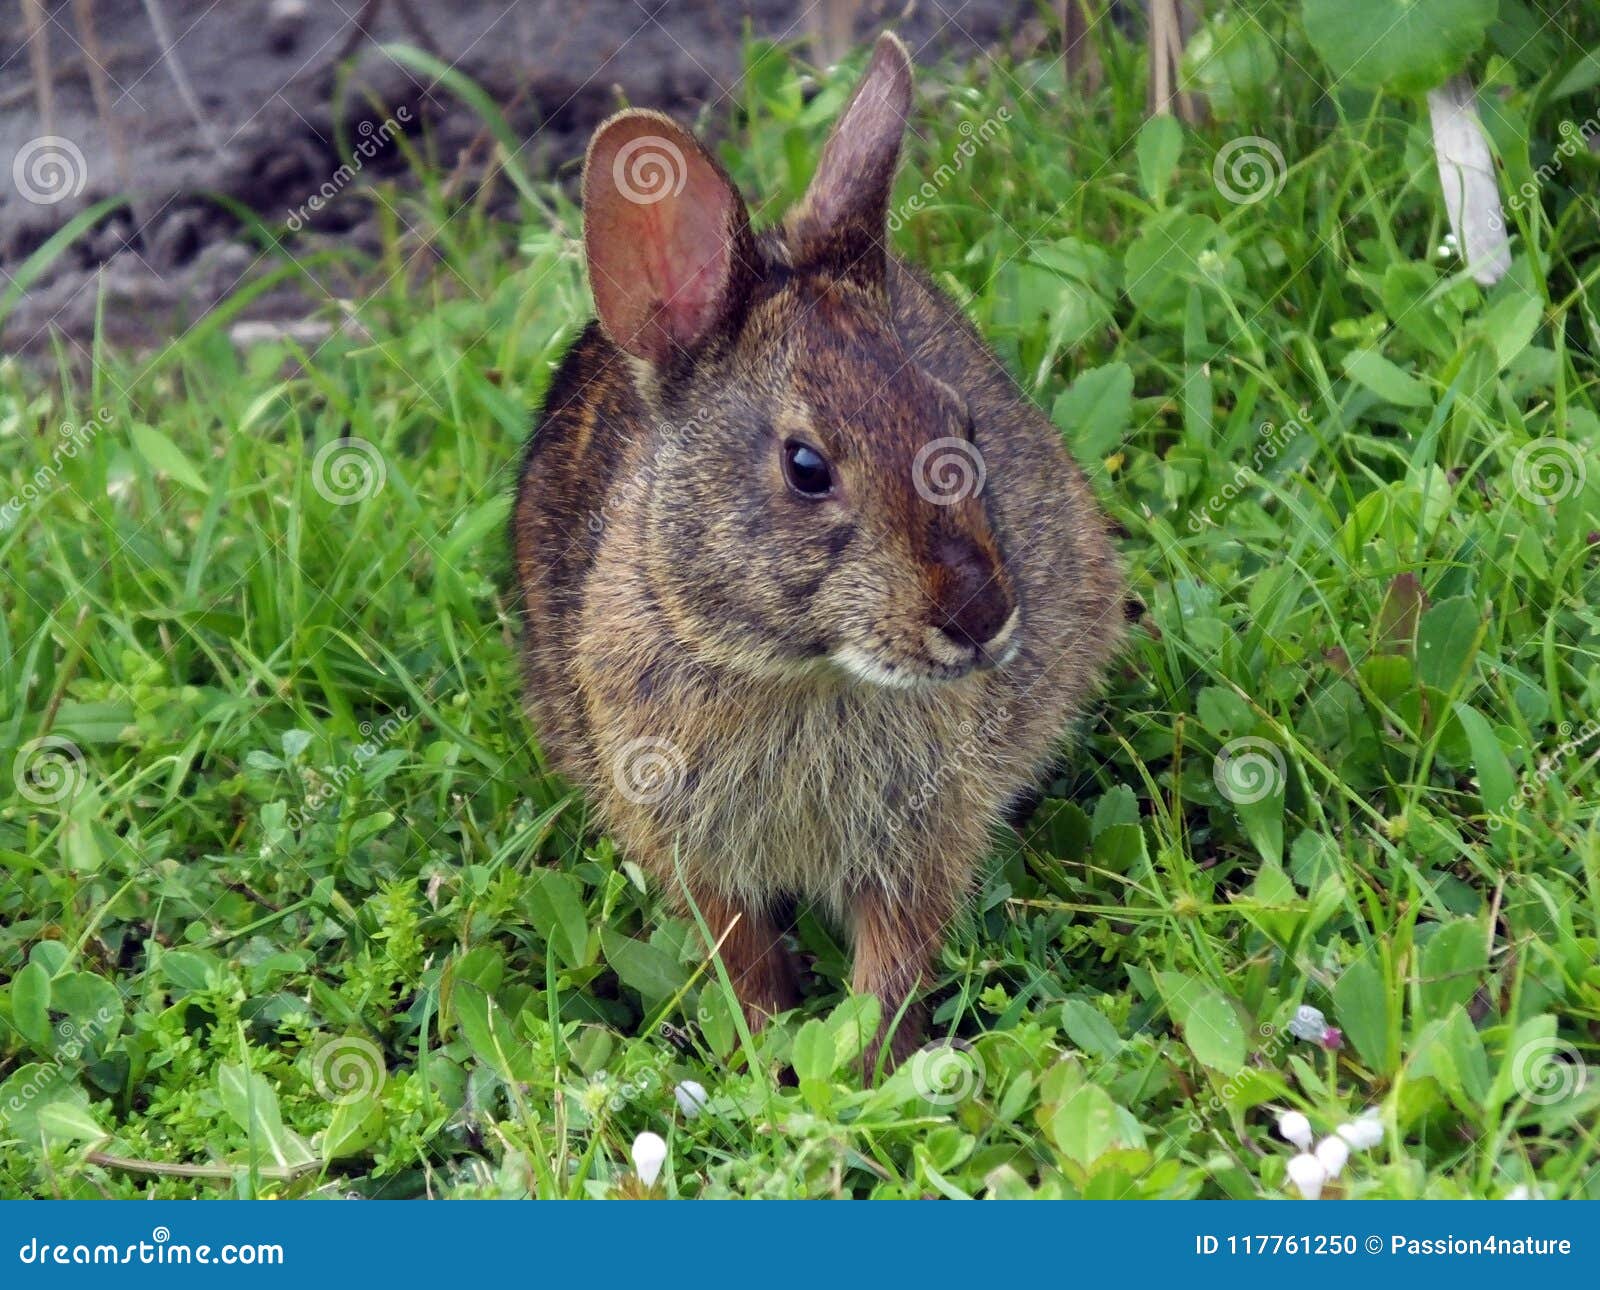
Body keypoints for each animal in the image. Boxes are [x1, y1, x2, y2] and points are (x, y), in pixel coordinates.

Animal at [511, 32, 1125, 1073]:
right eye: (806, 467)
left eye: (964, 426)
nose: (980, 620)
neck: (803, 672)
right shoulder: (690, 846)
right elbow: (741, 955)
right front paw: (770, 1060)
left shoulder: (922, 839)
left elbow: (893, 958)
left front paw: (865, 1072)